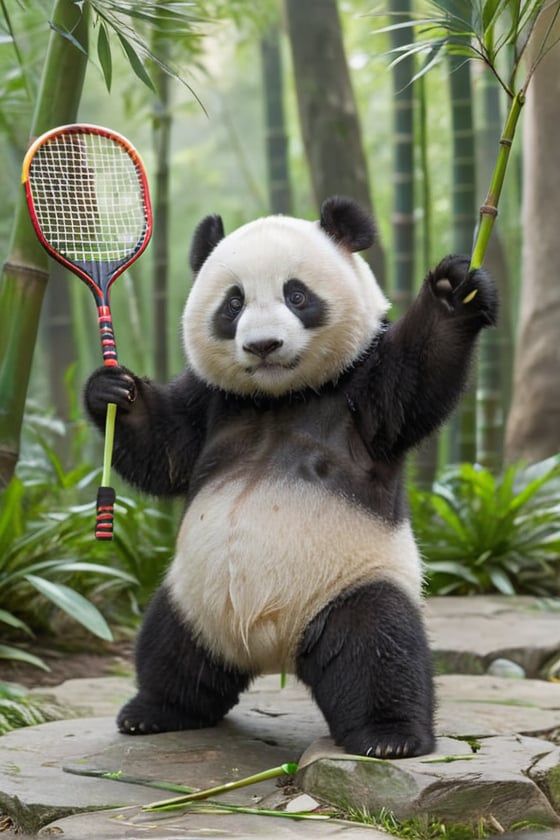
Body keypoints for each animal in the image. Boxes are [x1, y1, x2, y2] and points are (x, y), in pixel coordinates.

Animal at [85, 196, 497, 759]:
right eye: (233, 303)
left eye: (297, 295)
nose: (263, 345)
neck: (280, 397)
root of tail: (270, 652)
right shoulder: (213, 402)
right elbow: (163, 449)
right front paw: (111, 391)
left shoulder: (362, 394)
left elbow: (419, 378)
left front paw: (454, 292)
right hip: (191, 596)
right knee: (171, 651)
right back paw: (155, 711)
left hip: (351, 583)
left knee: (379, 649)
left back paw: (389, 737)